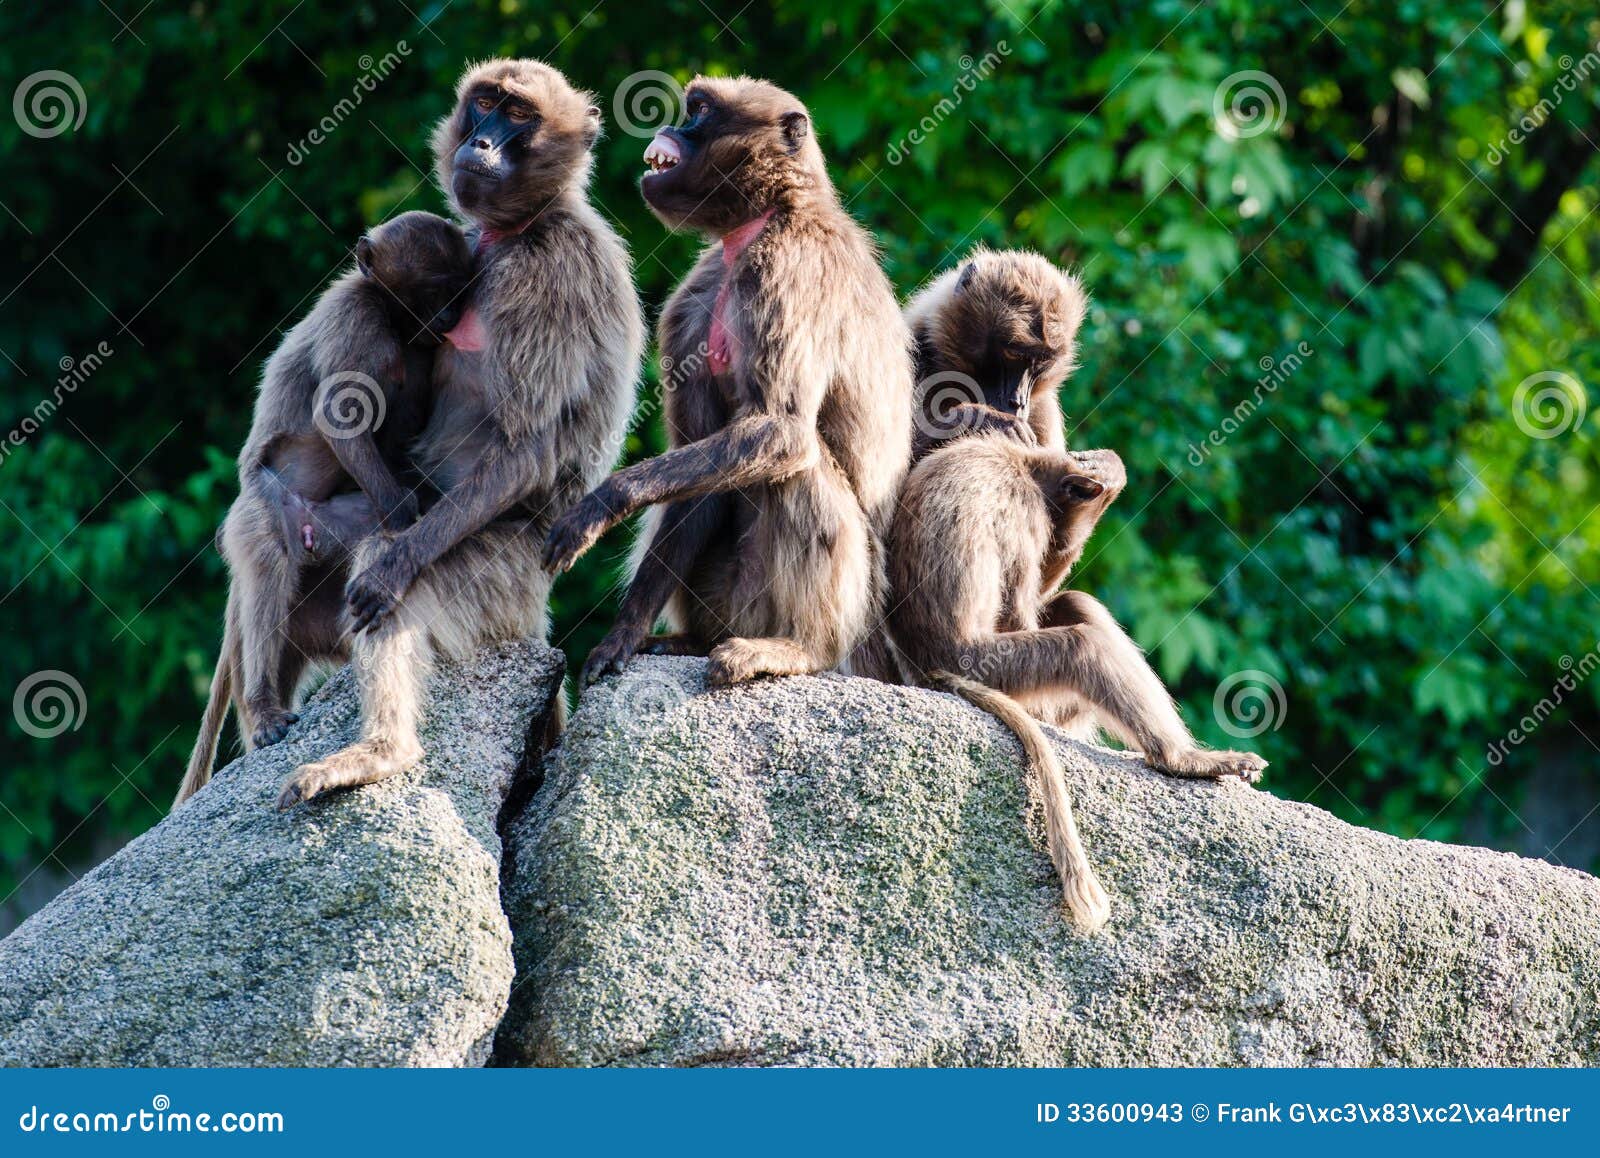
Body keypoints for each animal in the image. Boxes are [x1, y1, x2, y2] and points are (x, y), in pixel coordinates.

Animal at [175, 211, 473, 806]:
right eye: (434, 291)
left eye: (457, 291)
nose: (450, 317)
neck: (392, 320)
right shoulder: (357, 320)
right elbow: (341, 416)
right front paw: (405, 518)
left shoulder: (420, 351)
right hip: (259, 509)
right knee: (268, 557)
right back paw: (263, 708)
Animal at [273, 59, 643, 811]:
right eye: (486, 103)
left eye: (521, 114)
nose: (484, 144)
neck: (521, 230)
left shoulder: (553, 273)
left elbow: (525, 446)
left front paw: (395, 563)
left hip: (502, 571)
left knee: (391, 581)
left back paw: (383, 751)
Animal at [541, 76, 913, 691]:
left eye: (700, 111)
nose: (671, 126)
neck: (773, 214)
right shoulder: (698, 297)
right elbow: (698, 458)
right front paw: (625, 633)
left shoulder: (786, 271)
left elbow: (783, 432)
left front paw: (602, 503)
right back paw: (692, 640)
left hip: (851, 611)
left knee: (799, 466)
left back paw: (797, 649)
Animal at [887, 437, 1268, 926]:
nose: (1069, 541)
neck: (1022, 462)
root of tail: (929, 671)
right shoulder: (1026, 511)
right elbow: (1019, 614)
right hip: (996, 669)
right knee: (1080, 644)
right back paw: (1180, 759)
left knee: (1076, 606)